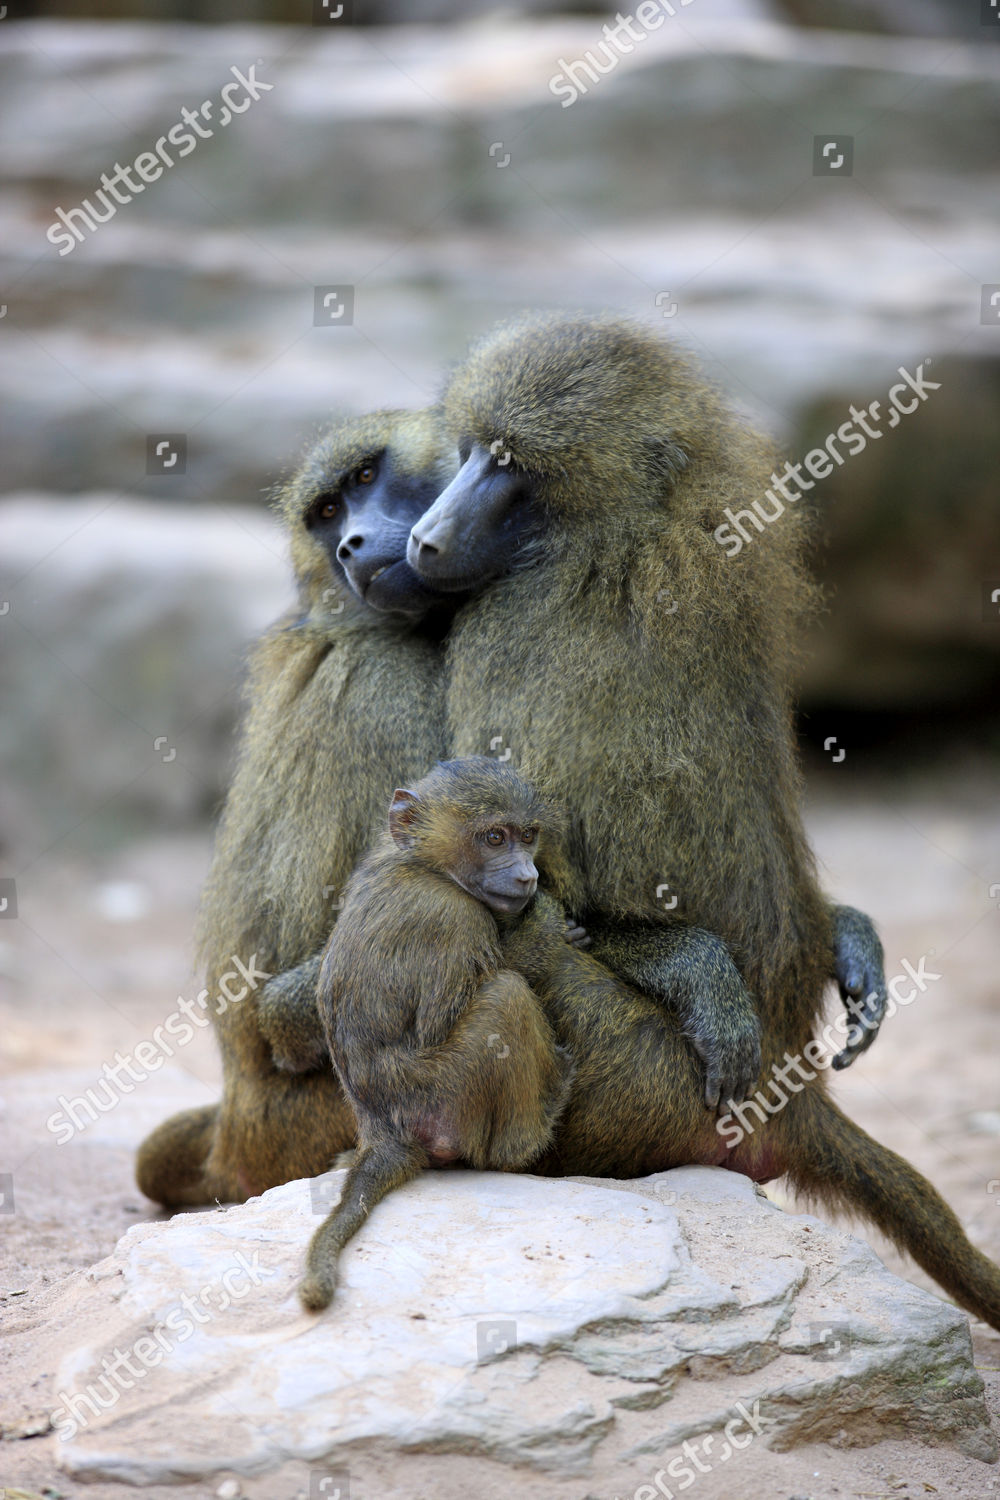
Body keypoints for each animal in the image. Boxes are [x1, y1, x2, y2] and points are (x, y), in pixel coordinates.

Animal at [135, 408, 460, 1206]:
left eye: (367, 476)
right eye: (325, 513)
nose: (349, 544)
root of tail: (236, 1127)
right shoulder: (390, 683)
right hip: (313, 1115)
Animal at [299, 758, 575, 1311]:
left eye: (527, 835)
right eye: (494, 837)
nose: (528, 875)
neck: (425, 865)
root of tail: (381, 1131)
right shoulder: (451, 915)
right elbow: (442, 1018)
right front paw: (549, 932)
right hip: (443, 1095)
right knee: (505, 998)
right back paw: (531, 1133)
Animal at [396, 313, 1000, 1327]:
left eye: (509, 464)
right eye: (472, 449)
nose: (426, 541)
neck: (644, 523)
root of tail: (785, 1086)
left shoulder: (514, 623)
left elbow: (527, 872)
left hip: (624, 1077)